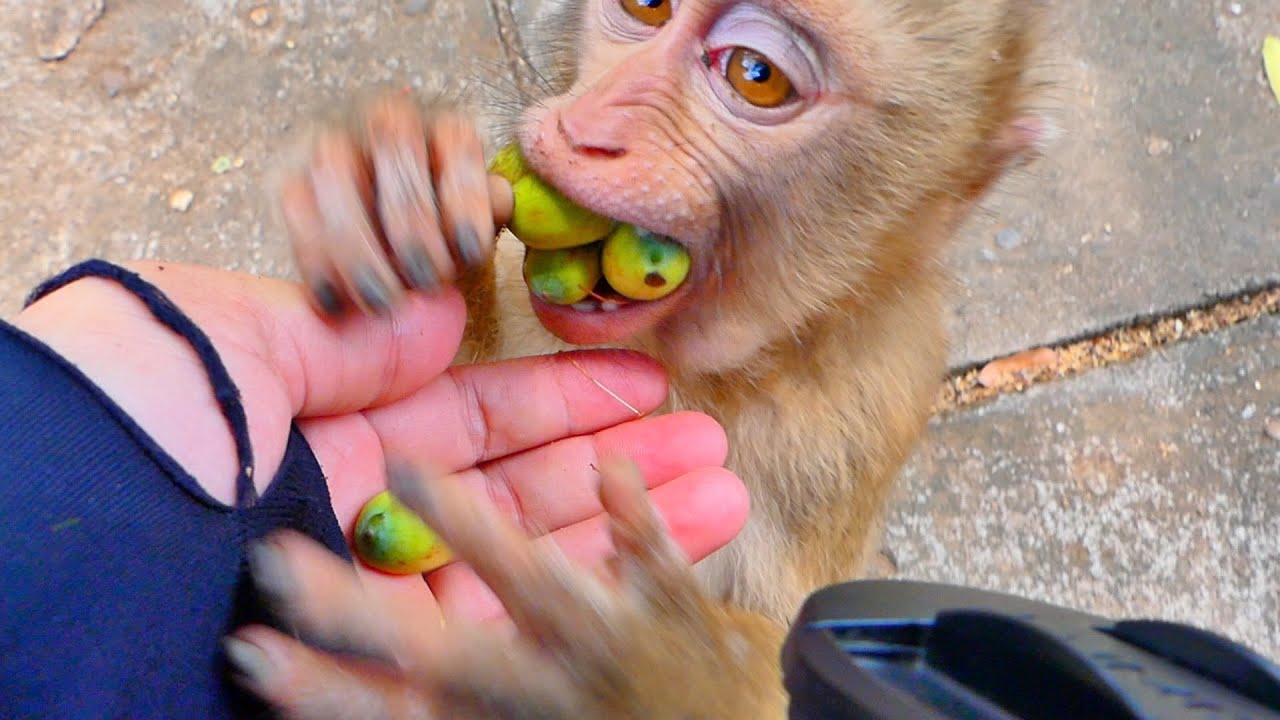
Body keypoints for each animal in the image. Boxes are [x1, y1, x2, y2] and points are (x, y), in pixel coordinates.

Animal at [269, 0, 1049, 713]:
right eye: (648, 6)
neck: (714, 369)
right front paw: (389, 187)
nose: (586, 131)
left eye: (757, 74)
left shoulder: (858, 425)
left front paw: (654, 674)